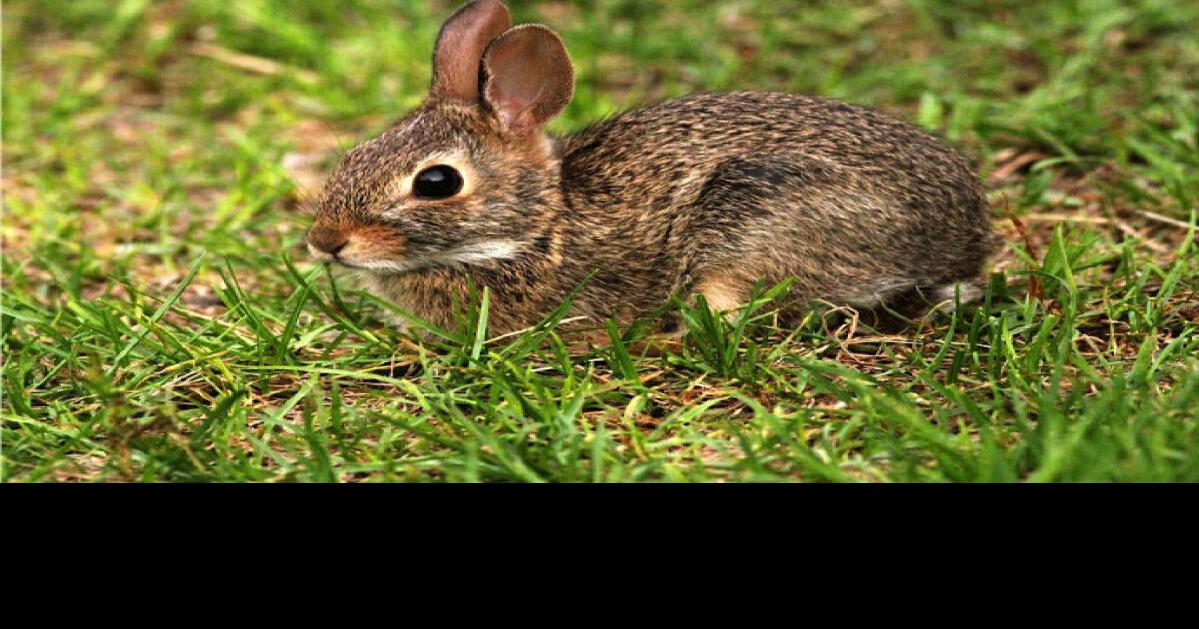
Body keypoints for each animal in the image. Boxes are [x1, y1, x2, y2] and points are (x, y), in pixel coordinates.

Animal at [306, 0, 1000, 336]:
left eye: (437, 182)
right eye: (355, 154)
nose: (325, 242)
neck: (538, 230)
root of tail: (961, 241)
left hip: (750, 228)